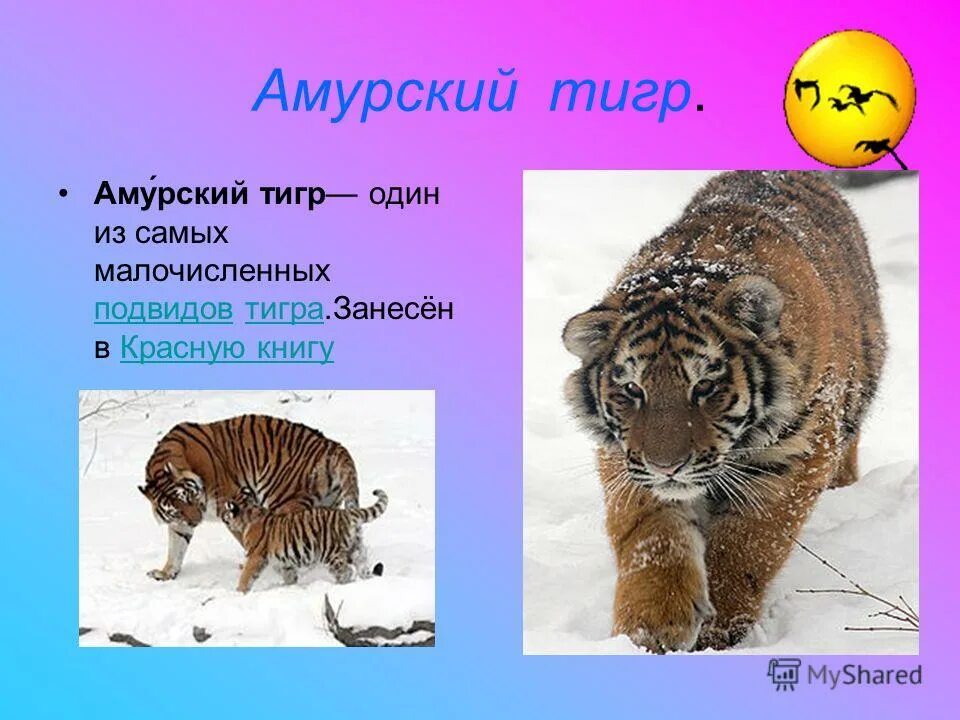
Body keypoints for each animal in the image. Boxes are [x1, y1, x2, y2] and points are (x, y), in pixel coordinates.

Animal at [138, 414, 360, 581]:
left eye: (188, 497)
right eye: (176, 510)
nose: (196, 521)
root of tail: (332, 445)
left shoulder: (231, 504)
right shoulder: (179, 523)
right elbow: (176, 546)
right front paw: (166, 573)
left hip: (285, 500)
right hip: (326, 504)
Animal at [220, 488, 388, 592]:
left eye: (226, 510)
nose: (222, 517)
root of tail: (346, 513)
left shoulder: (255, 556)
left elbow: (246, 576)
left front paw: (239, 592)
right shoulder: (283, 561)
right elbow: (289, 575)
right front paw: (288, 587)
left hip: (331, 554)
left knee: (346, 571)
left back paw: (339, 585)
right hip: (355, 548)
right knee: (362, 566)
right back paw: (367, 580)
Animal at [562, 171, 886, 652]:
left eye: (705, 386)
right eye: (632, 389)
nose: (666, 467)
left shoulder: (797, 455)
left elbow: (746, 546)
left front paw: (719, 632)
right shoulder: (626, 461)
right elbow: (652, 539)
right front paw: (649, 629)